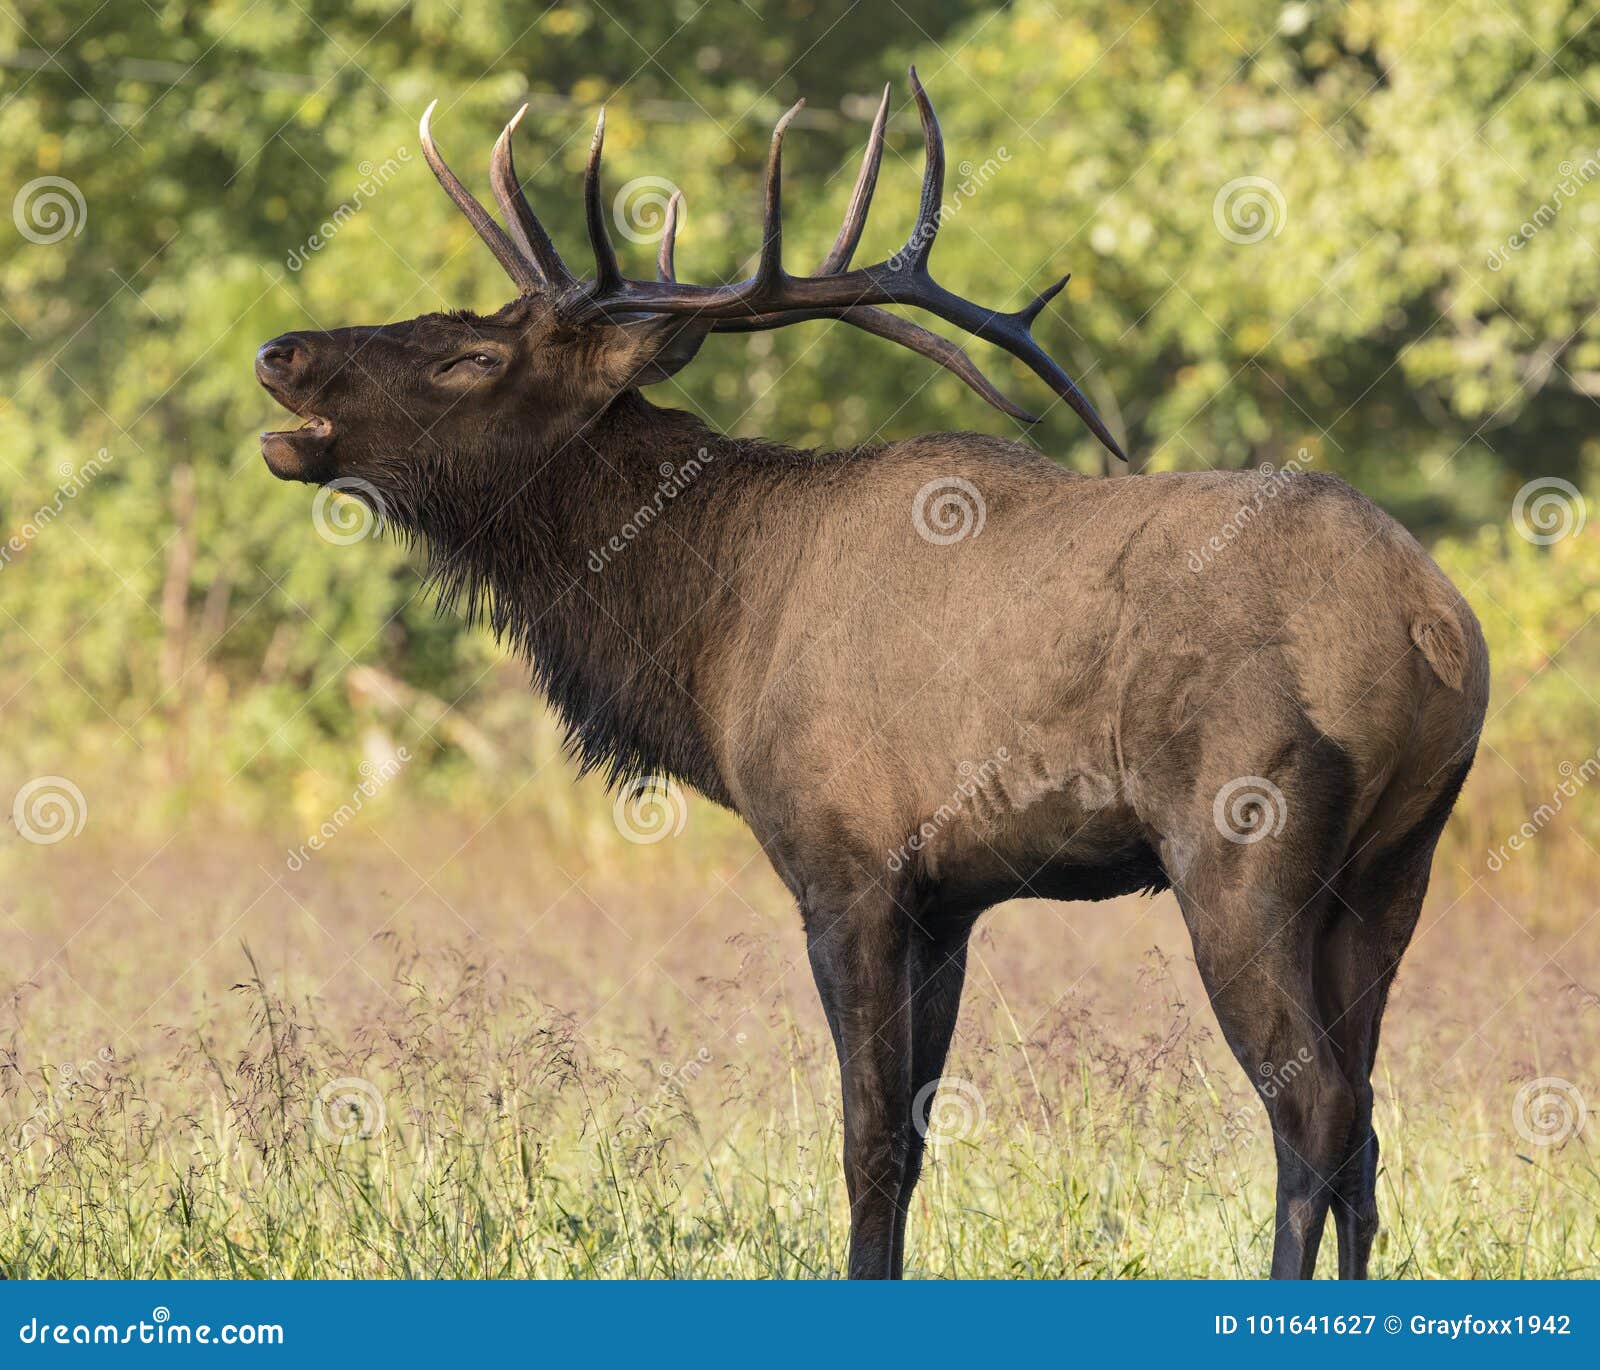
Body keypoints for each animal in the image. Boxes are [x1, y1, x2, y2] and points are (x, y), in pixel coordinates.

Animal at [255, 70, 1489, 1280]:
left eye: (473, 357)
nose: (281, 351)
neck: (710, 643)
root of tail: (1433, 625)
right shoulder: (946, 900)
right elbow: (917, 1134)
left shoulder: (846, 867)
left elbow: (868, 1139)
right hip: (1394, 866)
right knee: (1366, 1123)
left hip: (1241, 841)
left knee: (1314, 1109)